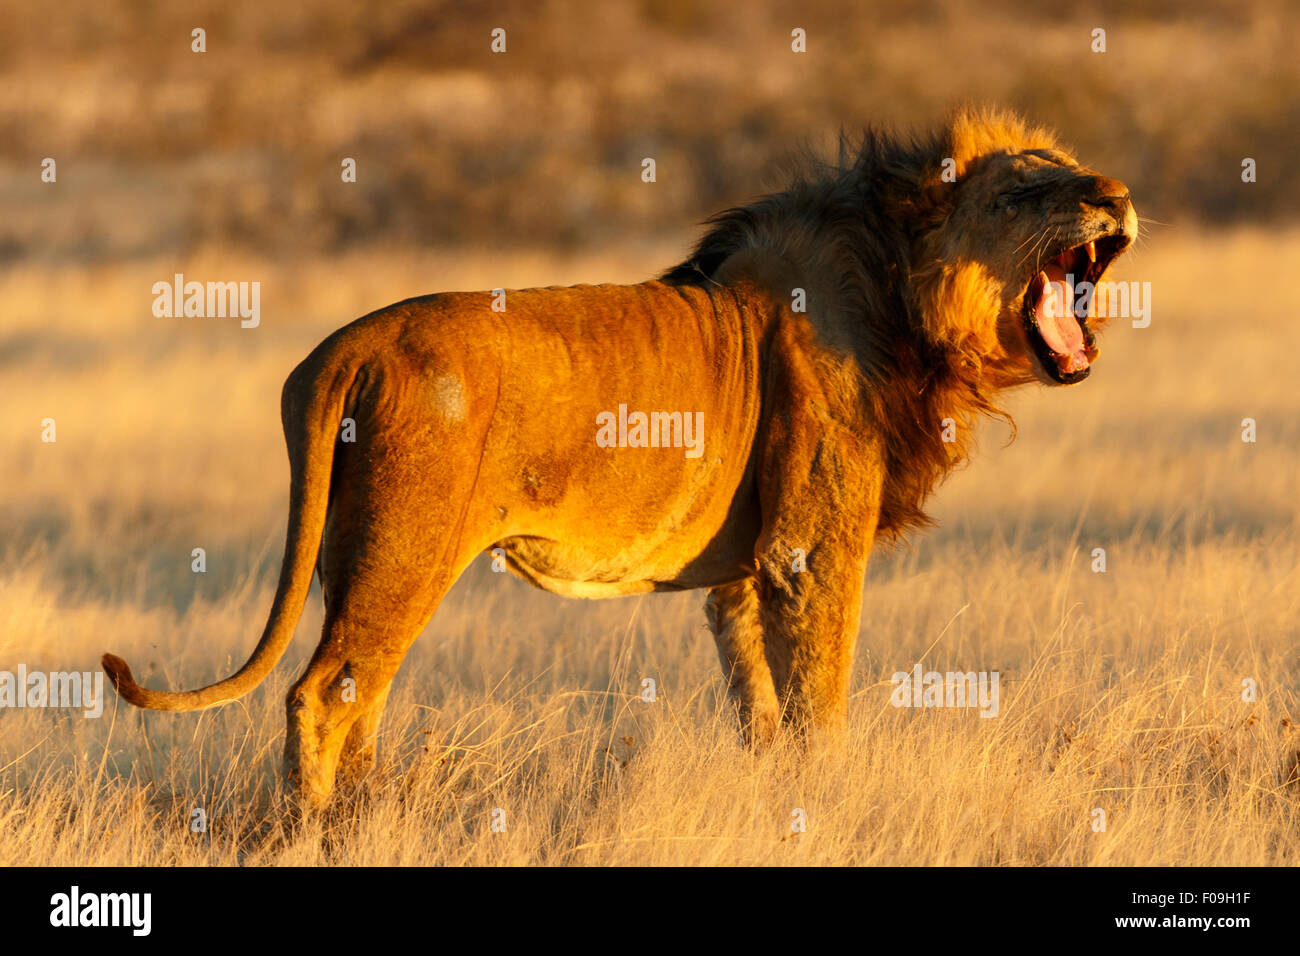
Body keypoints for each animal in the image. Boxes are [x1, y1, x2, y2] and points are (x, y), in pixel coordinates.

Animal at [102, 107, 1137, 811]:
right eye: (1029, 189)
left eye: (1078, 172)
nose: (1118, 196)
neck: (906, 298)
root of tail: (342, 349)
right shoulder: (808, 551)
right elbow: (821, 698)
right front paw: (830, 800)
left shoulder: (745, 574)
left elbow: (761, 705)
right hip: (406, 550)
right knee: (321, 697)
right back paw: (319, 836)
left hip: (355, 560)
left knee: (363, 694)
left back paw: (374, 815)